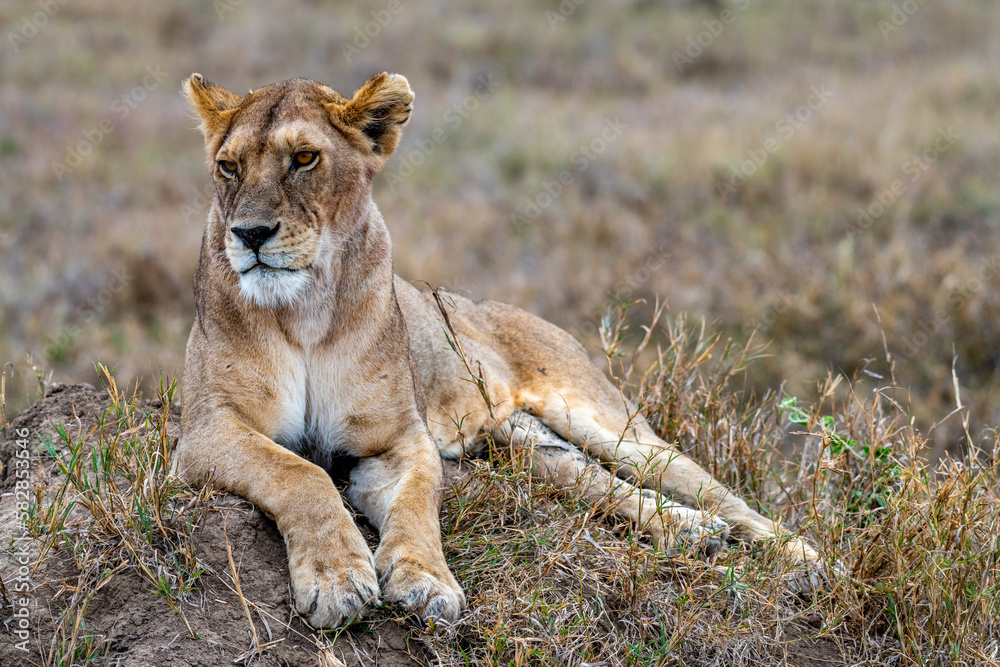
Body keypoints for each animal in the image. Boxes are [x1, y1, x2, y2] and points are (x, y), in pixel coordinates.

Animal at [176, 72, 823, 629]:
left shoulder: (399, 439)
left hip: (611, 426)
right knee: (594, 481)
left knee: (721, 494)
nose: (249, 235)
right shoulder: (206, 432)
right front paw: (337, 582)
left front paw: (426, 582)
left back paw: (808, 564)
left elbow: (415, 505)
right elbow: (300, 473)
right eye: (228, 167)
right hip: (526, 446)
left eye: (305, 158)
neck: (304, 313)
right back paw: (689, 531)